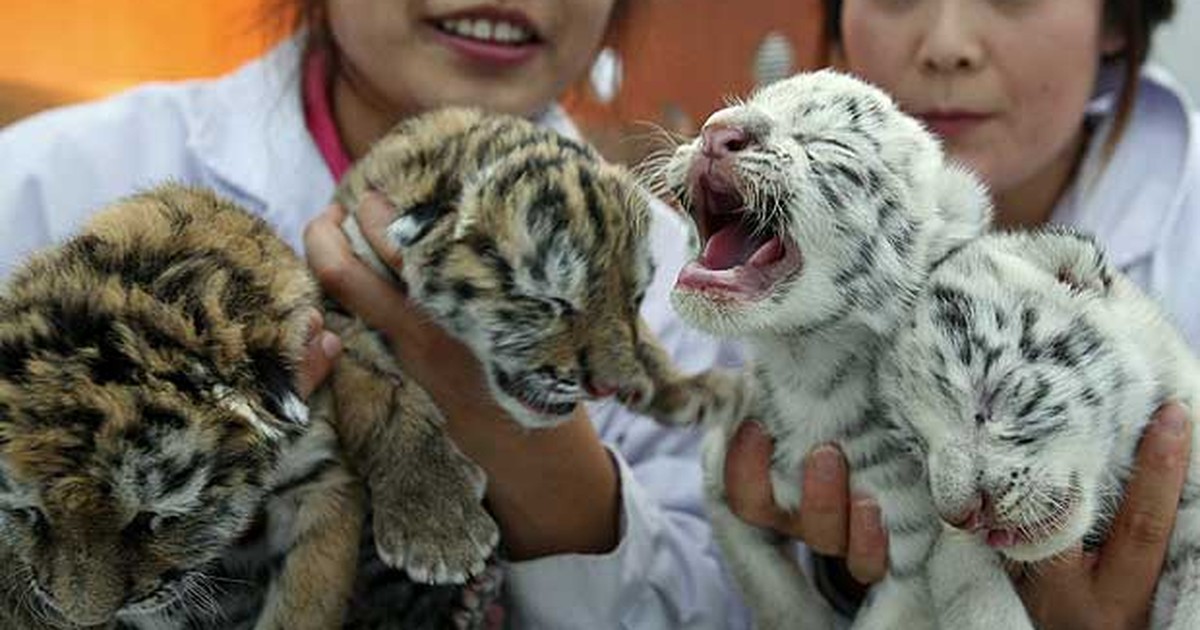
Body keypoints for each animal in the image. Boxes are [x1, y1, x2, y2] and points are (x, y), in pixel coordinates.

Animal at [653, 69, 991, 629]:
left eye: (827, 144)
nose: (715, 133)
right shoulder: (722, 488)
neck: (806, 369)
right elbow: (779, 599)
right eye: (730, 110)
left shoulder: (912, 557)